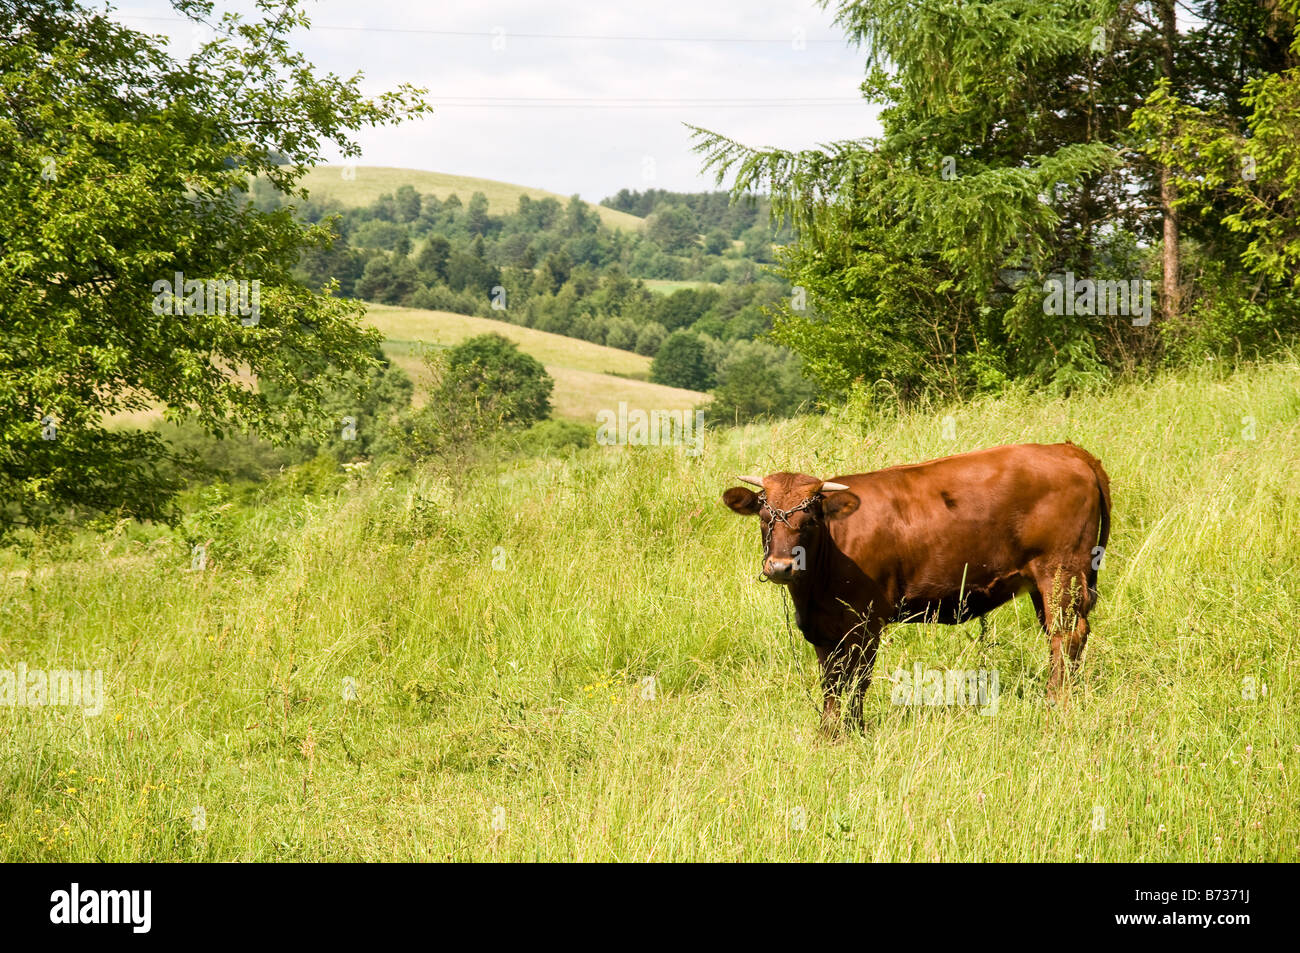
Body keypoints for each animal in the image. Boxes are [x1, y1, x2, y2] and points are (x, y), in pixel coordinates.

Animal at [722, 442, 1111, 731]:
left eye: (809, 520)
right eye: (764, 517)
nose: (780, 566)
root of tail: (1069, 451)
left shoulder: (866, 623)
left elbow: (857, 679)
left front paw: (853, 731)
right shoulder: (824, 629)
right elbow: (831, 680)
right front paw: (829, 732)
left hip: (1061, 572)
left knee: (1066, 636)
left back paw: (1056, 703)